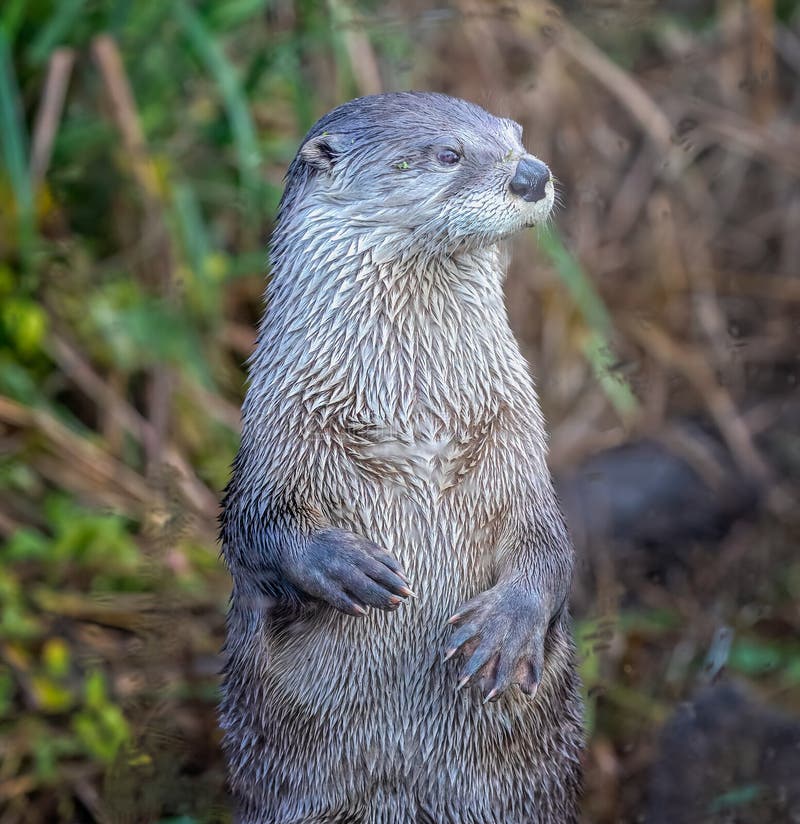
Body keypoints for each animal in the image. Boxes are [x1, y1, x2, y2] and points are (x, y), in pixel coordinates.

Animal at [220, 92, 583, 824]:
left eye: (514, 134)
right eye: (447, 153)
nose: (531, 173)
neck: (415, 424)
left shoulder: (517, 445)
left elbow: (549, 545)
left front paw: (506, 628)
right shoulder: (274, 435)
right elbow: (249, 526)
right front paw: (340, 565)